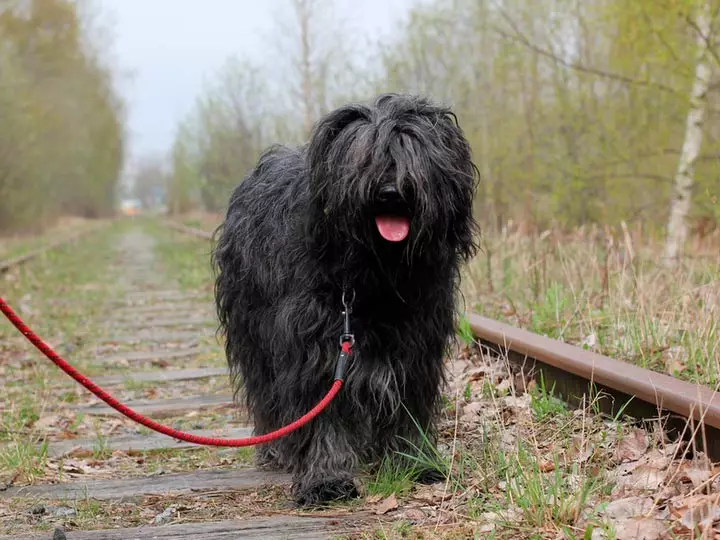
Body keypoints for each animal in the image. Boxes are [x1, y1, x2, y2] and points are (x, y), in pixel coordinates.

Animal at [215, 93, 484, 506]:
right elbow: (322, 417)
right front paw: (325, 480)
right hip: (253, 329)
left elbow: (408, 404)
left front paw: (414, 462)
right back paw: (277, 449)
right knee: (266, 392)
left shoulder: (416, 339)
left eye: (410, 148)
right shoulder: (315, 346)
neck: (376, 276)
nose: (390, 193)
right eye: (363, 156)